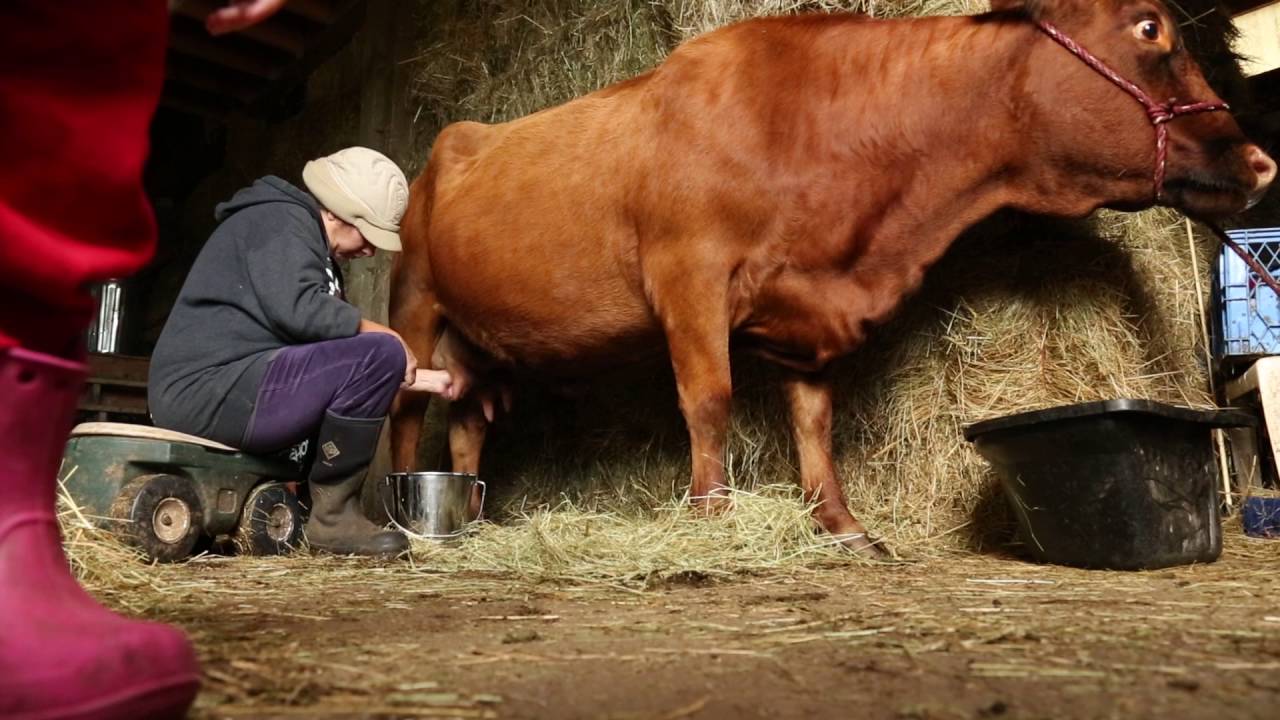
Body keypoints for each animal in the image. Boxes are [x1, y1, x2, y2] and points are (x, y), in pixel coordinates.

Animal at [389, 0, 1276, 556]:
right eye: (1150, 25)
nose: (1261, 161)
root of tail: (453, 140)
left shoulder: (811, 316)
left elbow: (815, 425)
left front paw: (842, 526)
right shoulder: (689, 273)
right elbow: (707, 402)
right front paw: (713, 517)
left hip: (482, 343)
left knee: (465, 425)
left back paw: (467, 516)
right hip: (416, 303)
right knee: (405, 410)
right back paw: (396, 516)